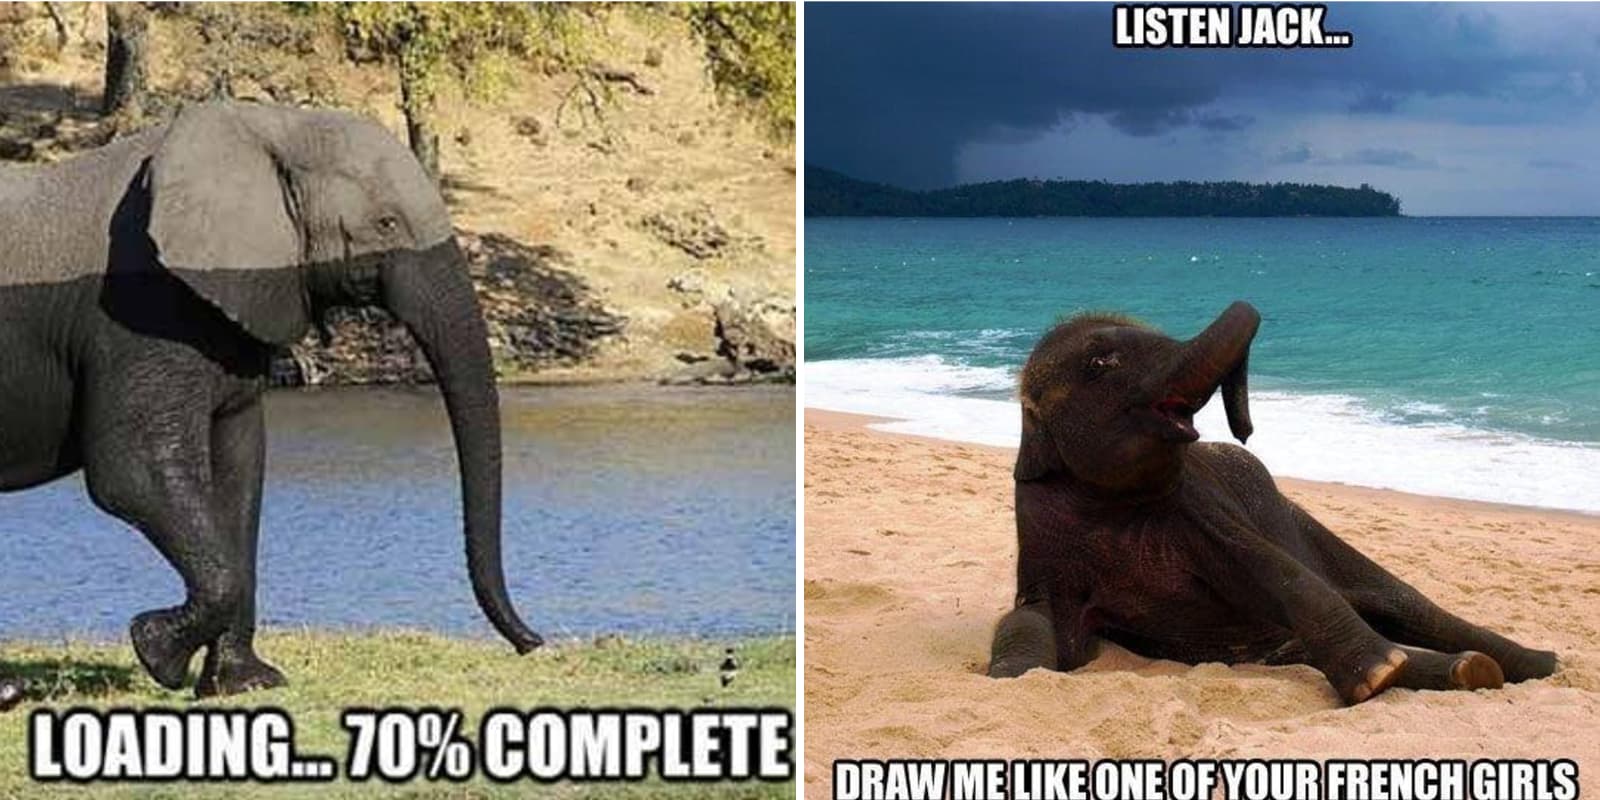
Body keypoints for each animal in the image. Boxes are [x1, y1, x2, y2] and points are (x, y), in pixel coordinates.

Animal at [0, 102, 543, 702]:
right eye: (386, 224)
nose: (532, 643)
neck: (267, 125)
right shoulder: (137, 313)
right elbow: (131, 474)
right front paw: (155, 650)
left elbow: (241, 471)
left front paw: (244, 684)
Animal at [987, 301, 1558, 705]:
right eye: (1100, 361)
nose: (1244, 431)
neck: (1110, 504)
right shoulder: (1040, 535)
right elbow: (1033, 619)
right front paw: (1015, 677)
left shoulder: (1204, 511)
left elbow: (1276, 572)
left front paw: (1378, 675)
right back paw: (1470, 669)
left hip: (1306, 523)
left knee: (1412, 606)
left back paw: (1534, 665)